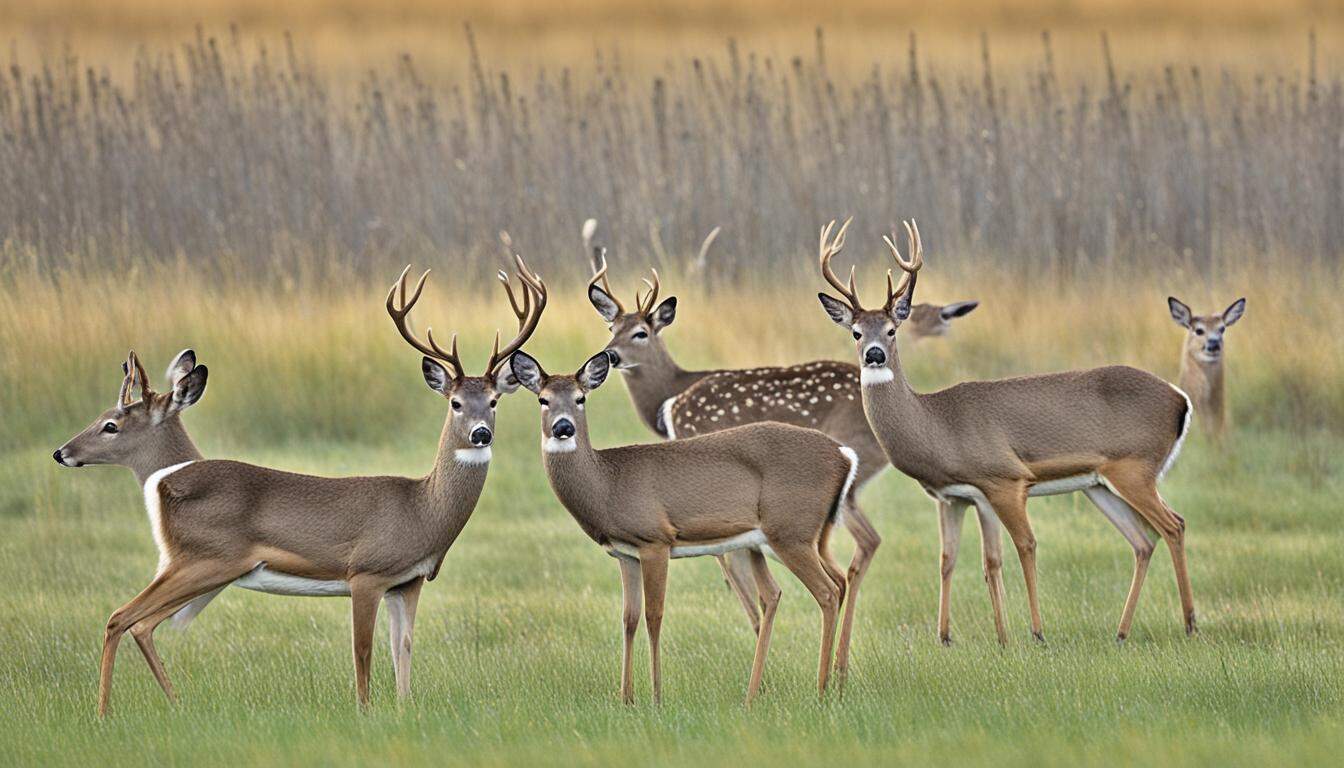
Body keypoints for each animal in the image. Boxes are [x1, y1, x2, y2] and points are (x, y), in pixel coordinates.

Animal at [52, 257, 546, 715]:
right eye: (456, 402)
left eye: (494, 401)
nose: (481, 433)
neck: (422, 509)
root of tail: (161, 481)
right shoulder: (365, 572)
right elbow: (363, 651)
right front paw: (366, 713)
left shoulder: (408, 582)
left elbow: (403, 651)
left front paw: (405, 709)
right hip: (203, 558)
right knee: (122, 616)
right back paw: (104, 713)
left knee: (136, 621)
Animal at [508, 347, 859, 705]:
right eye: (543, 399)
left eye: (581, 398)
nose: (563, 427)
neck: (607, 485)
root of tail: (844, 455)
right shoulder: (625, 553)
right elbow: (629, 619)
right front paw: (626, 698)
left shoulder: (655, 539)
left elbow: (654, 615)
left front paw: (656, 696)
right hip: (801, 536)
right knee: (824, 582)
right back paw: (812, 688)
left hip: (790, 530)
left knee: (826, 591)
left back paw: (821, 691)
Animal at [581, 220, 980, 667]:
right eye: (610, 328)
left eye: (641, 332)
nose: (610, 356)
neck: (667, 398)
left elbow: (726, 558)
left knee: (866, 543)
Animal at [815, 218, 1196, 644]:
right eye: (855, 332)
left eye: (892, 329)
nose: (875, 355)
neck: (937, 426)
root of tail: (1181, 400)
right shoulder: (954, 497)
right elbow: (955, 559)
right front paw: (953, 637)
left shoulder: (1005, 479)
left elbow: (1023, 546)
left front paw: (1034, 632)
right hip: (1100, 483)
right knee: (1143, 541)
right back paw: (1122, 632)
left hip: (1136, 467)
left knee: (1173, 525)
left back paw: (1189, 623)